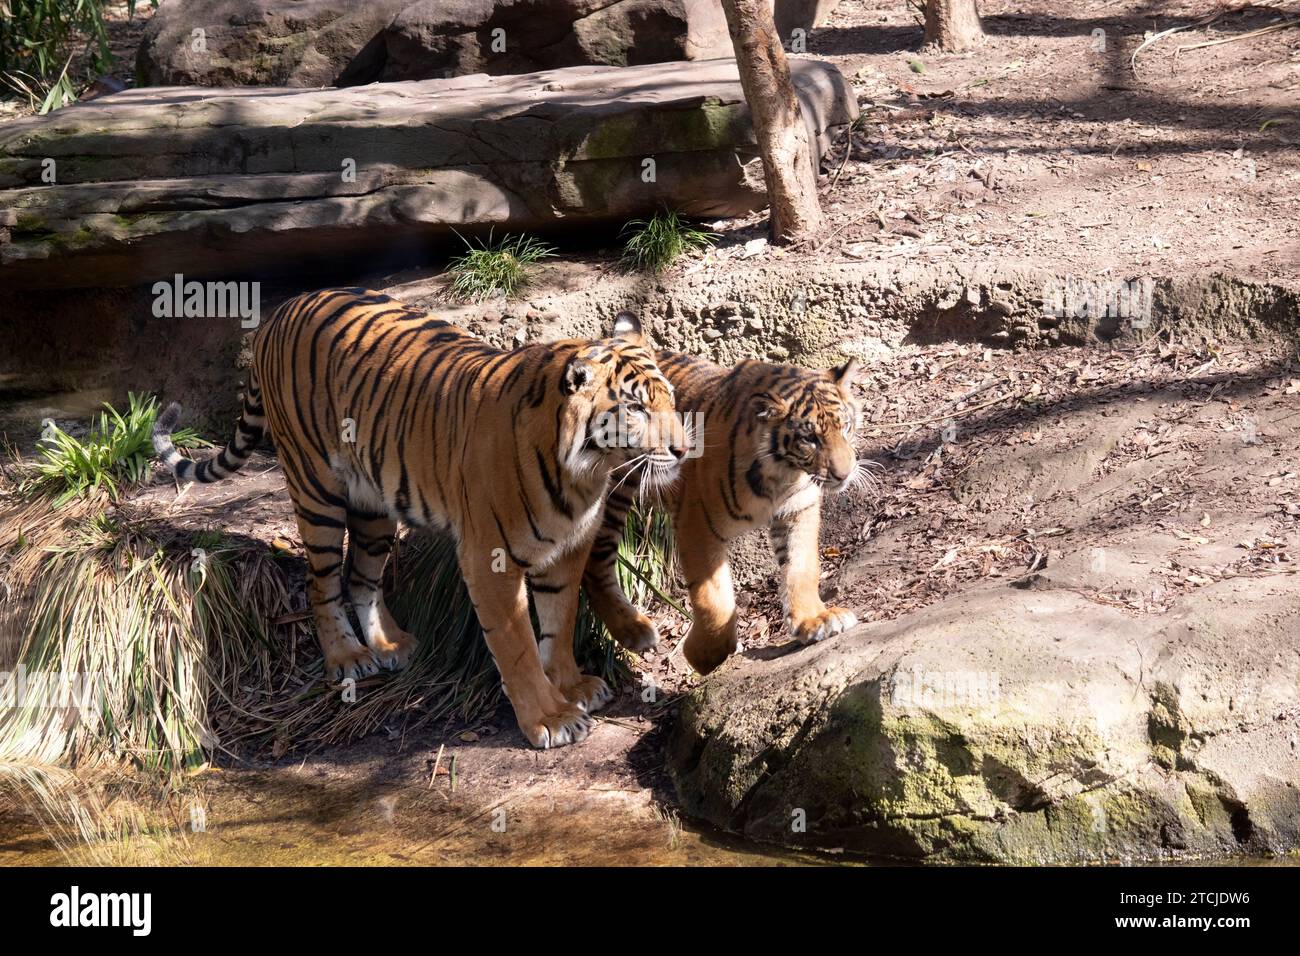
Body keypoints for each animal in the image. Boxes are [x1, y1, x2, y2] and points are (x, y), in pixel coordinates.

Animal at [153, 288, 685, 749]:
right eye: (636, 408)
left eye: (671, 400)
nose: (683, 449)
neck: (585, 473)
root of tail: (277, 313)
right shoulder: (489, 558)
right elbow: (517, 645)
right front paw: (549, 718)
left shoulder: (567, 549)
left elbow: (560, 621)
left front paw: (571, 686)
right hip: (315, 487)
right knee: (320, 580)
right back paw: (348, 657)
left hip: (374, 505)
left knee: (360, 577)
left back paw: (389, 645)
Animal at [583, 352, 868, 675]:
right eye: (809, 439)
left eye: (845, 426)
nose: (845, 474)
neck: (784, 474)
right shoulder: (697, 521)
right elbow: (714, 598)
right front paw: (704, 656)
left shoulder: (799, 511)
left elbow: (802, 567)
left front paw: (814, 620)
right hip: (612, 493)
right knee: (594, 563)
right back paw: (634, 631)